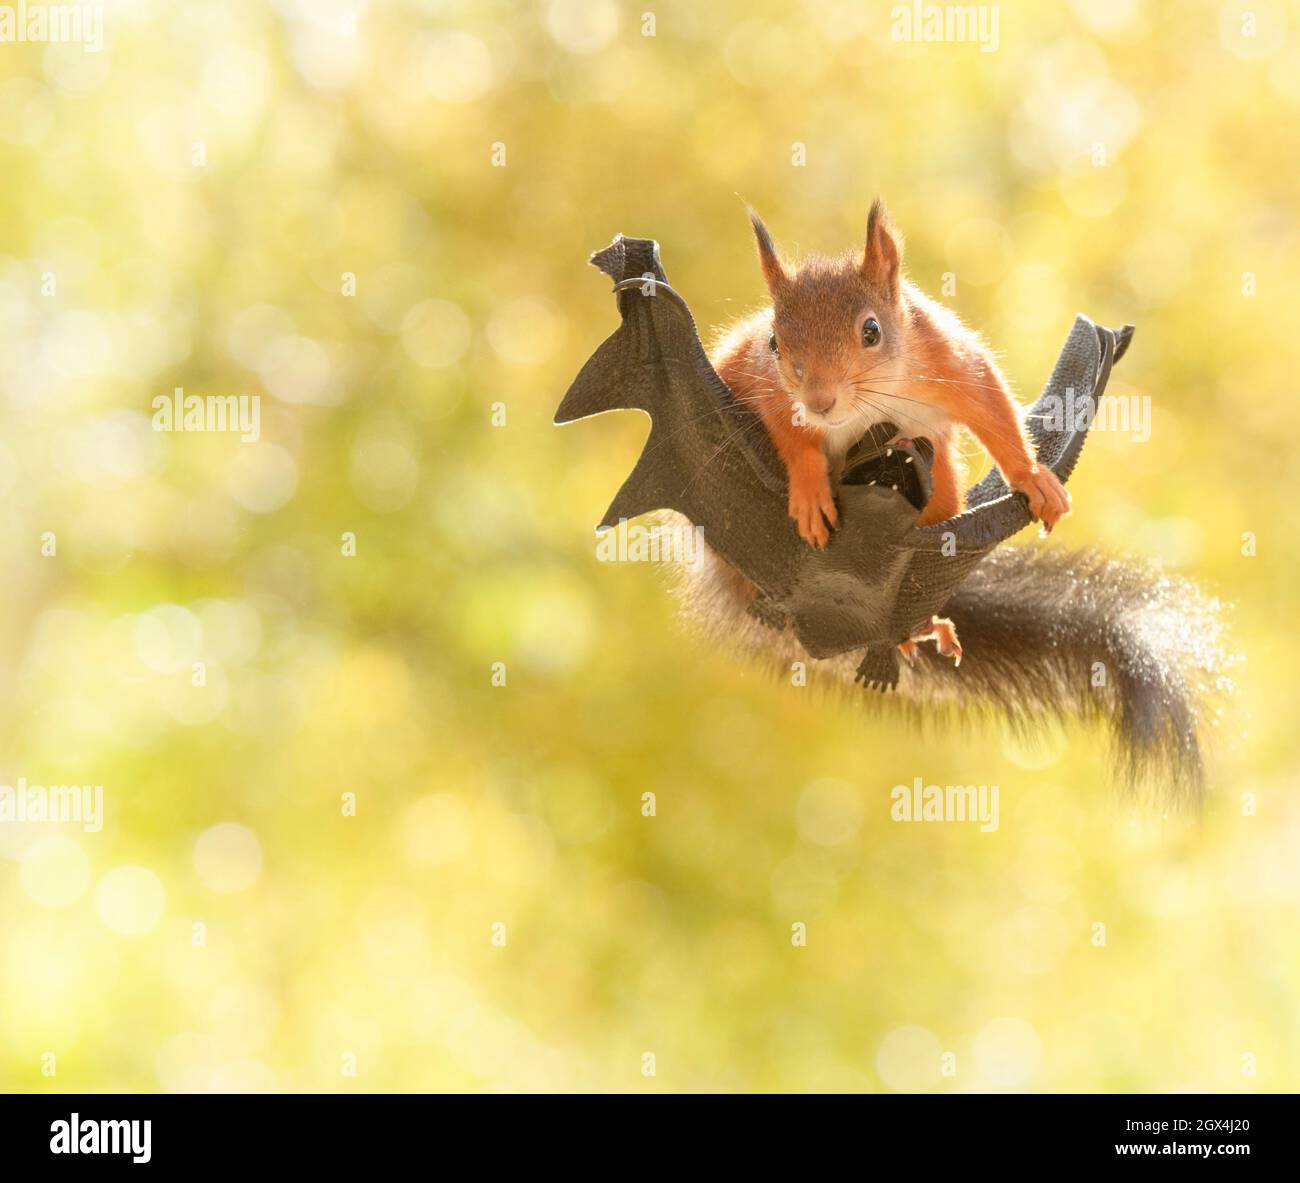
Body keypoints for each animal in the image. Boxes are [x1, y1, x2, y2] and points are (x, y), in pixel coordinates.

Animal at [674, 202, 1234, 796]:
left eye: (871, 330)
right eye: (776, 343)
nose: (821, 401)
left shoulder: (950, 360)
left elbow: (993, 409)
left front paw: (1033, 477)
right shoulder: (768, 387)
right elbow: (791, 435)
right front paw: (806, 489)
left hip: (939, 485)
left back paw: (913, 624)